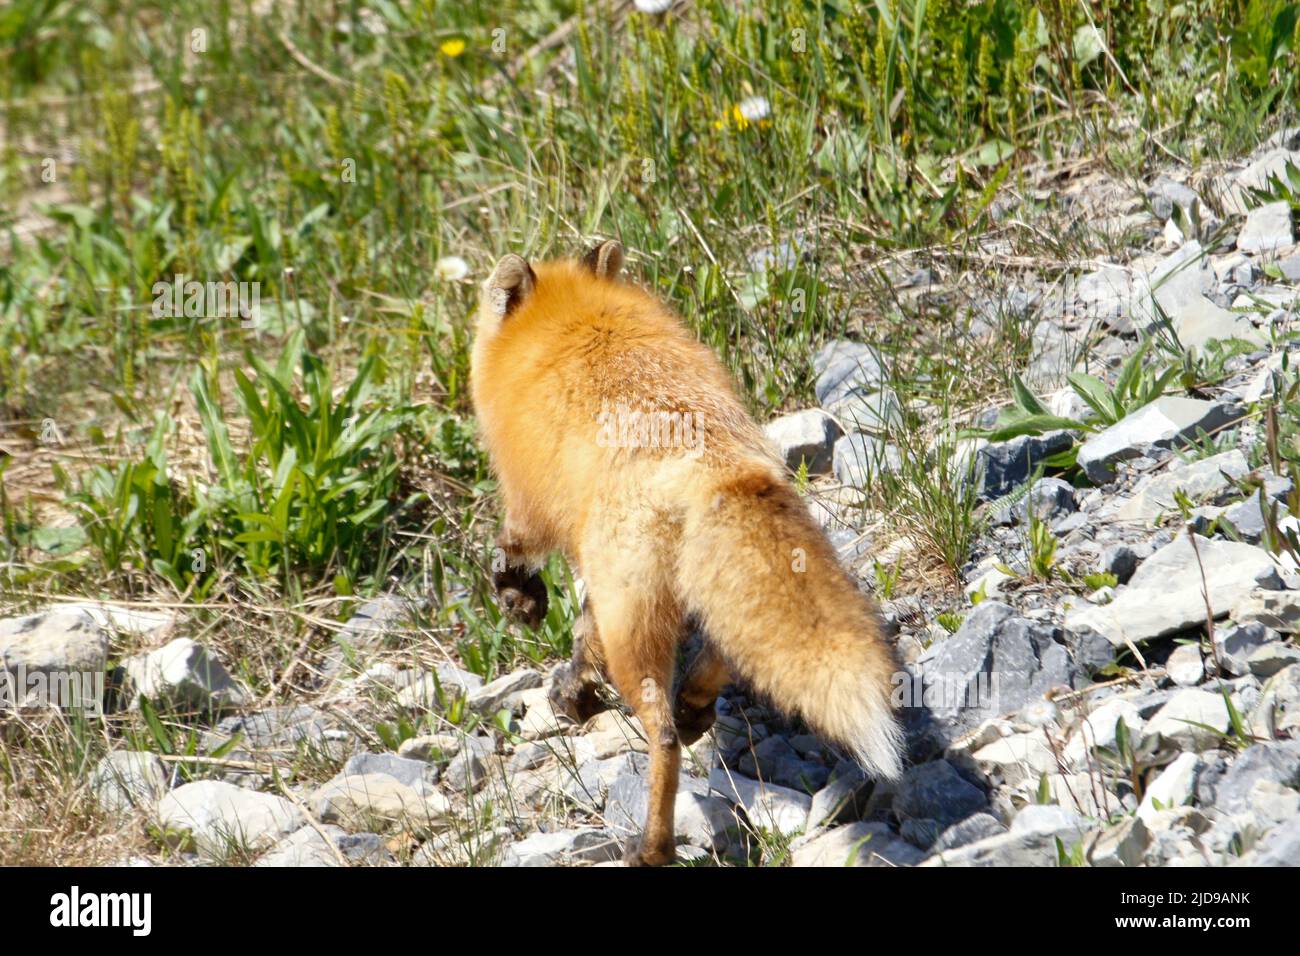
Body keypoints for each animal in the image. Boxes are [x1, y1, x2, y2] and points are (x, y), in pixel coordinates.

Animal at [470, 240, 903, 866]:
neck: (570, 322)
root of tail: (715, 466)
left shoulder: (530, 501)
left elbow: (513, 554)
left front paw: (520, 601)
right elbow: (582, 639)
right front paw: (572, 688)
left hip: (635, 626)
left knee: (663, 736)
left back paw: (652, 844)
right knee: (724, 650)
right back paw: (696, 705)